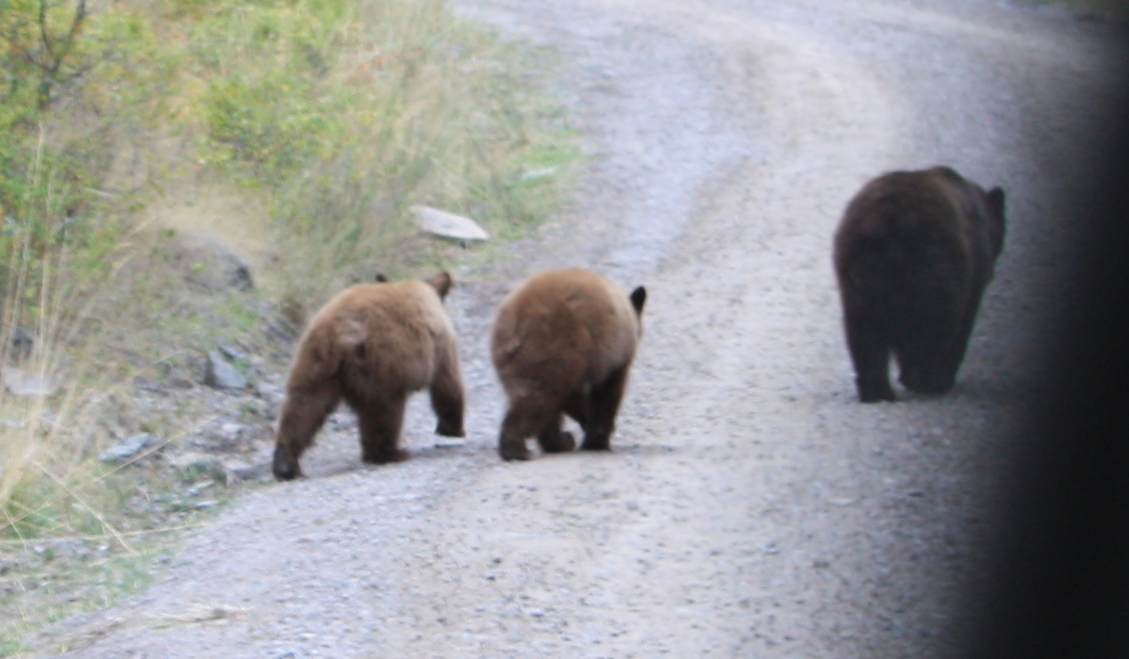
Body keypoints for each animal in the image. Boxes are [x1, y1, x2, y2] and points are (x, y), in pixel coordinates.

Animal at [271, 272, 465, 480]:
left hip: (314, 362)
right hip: (382, 362)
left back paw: (285, 464)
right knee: (383, 409)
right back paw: (390, 453)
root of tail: (337, 331)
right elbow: (448, 383)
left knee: (304, 405)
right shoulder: (441, 344)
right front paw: (453, 430)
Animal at [490, 268, 646, 461]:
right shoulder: (612, 355)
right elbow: (607, 392)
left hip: (512, 361)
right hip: (554, 347)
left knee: (539, 399)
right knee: (539, 399)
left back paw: (557, 442)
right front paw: (597, 438)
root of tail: (516, 322)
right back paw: (517, 449)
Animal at [833, 166, 1007, 402]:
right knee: (932, 324)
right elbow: (965, 321)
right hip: (935, 266)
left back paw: (877, 392)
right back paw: (924, 380)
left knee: (863, 331)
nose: (992, 273)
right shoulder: (973, 274)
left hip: (858, 269)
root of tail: (886, 221)